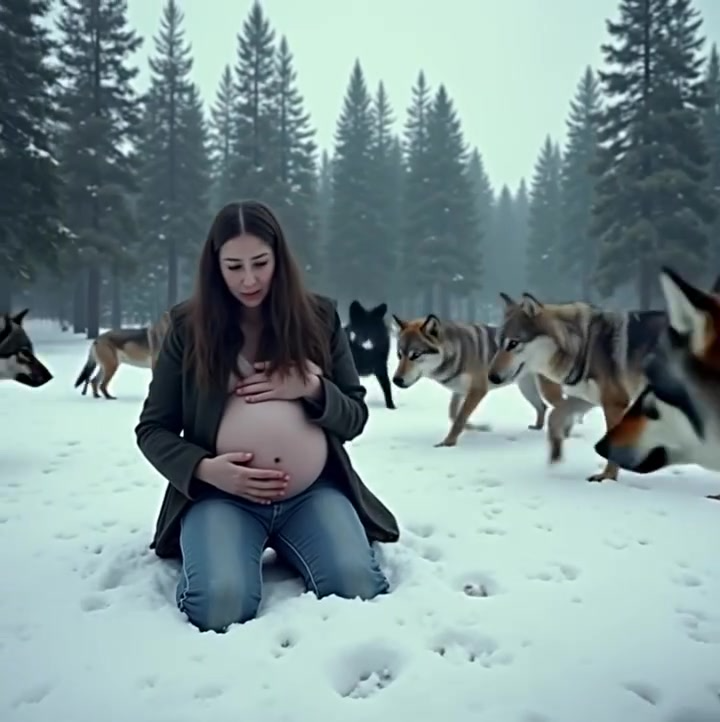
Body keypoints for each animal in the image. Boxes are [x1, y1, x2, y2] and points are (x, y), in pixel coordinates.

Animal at [391, 312, 568, 447]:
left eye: (415, 355)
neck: (458, 351)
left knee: (560, 406)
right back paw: (536, 428)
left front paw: (448, 443)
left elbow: (460, 417)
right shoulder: (459, 391)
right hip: (526, 389)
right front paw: (477, 428)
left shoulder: (477, 390)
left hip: (546, 391)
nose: (396, 380)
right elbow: (454, 414)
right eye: (399, 355)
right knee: (542, 407)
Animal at [486, 292, 666, 482]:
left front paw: (607, 477)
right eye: (498, 343)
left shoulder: (614, 403)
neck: (584, 346)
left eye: (513, 343)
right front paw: (556, 452)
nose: (491, 377)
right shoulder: (587, 399)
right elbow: (555, 415)